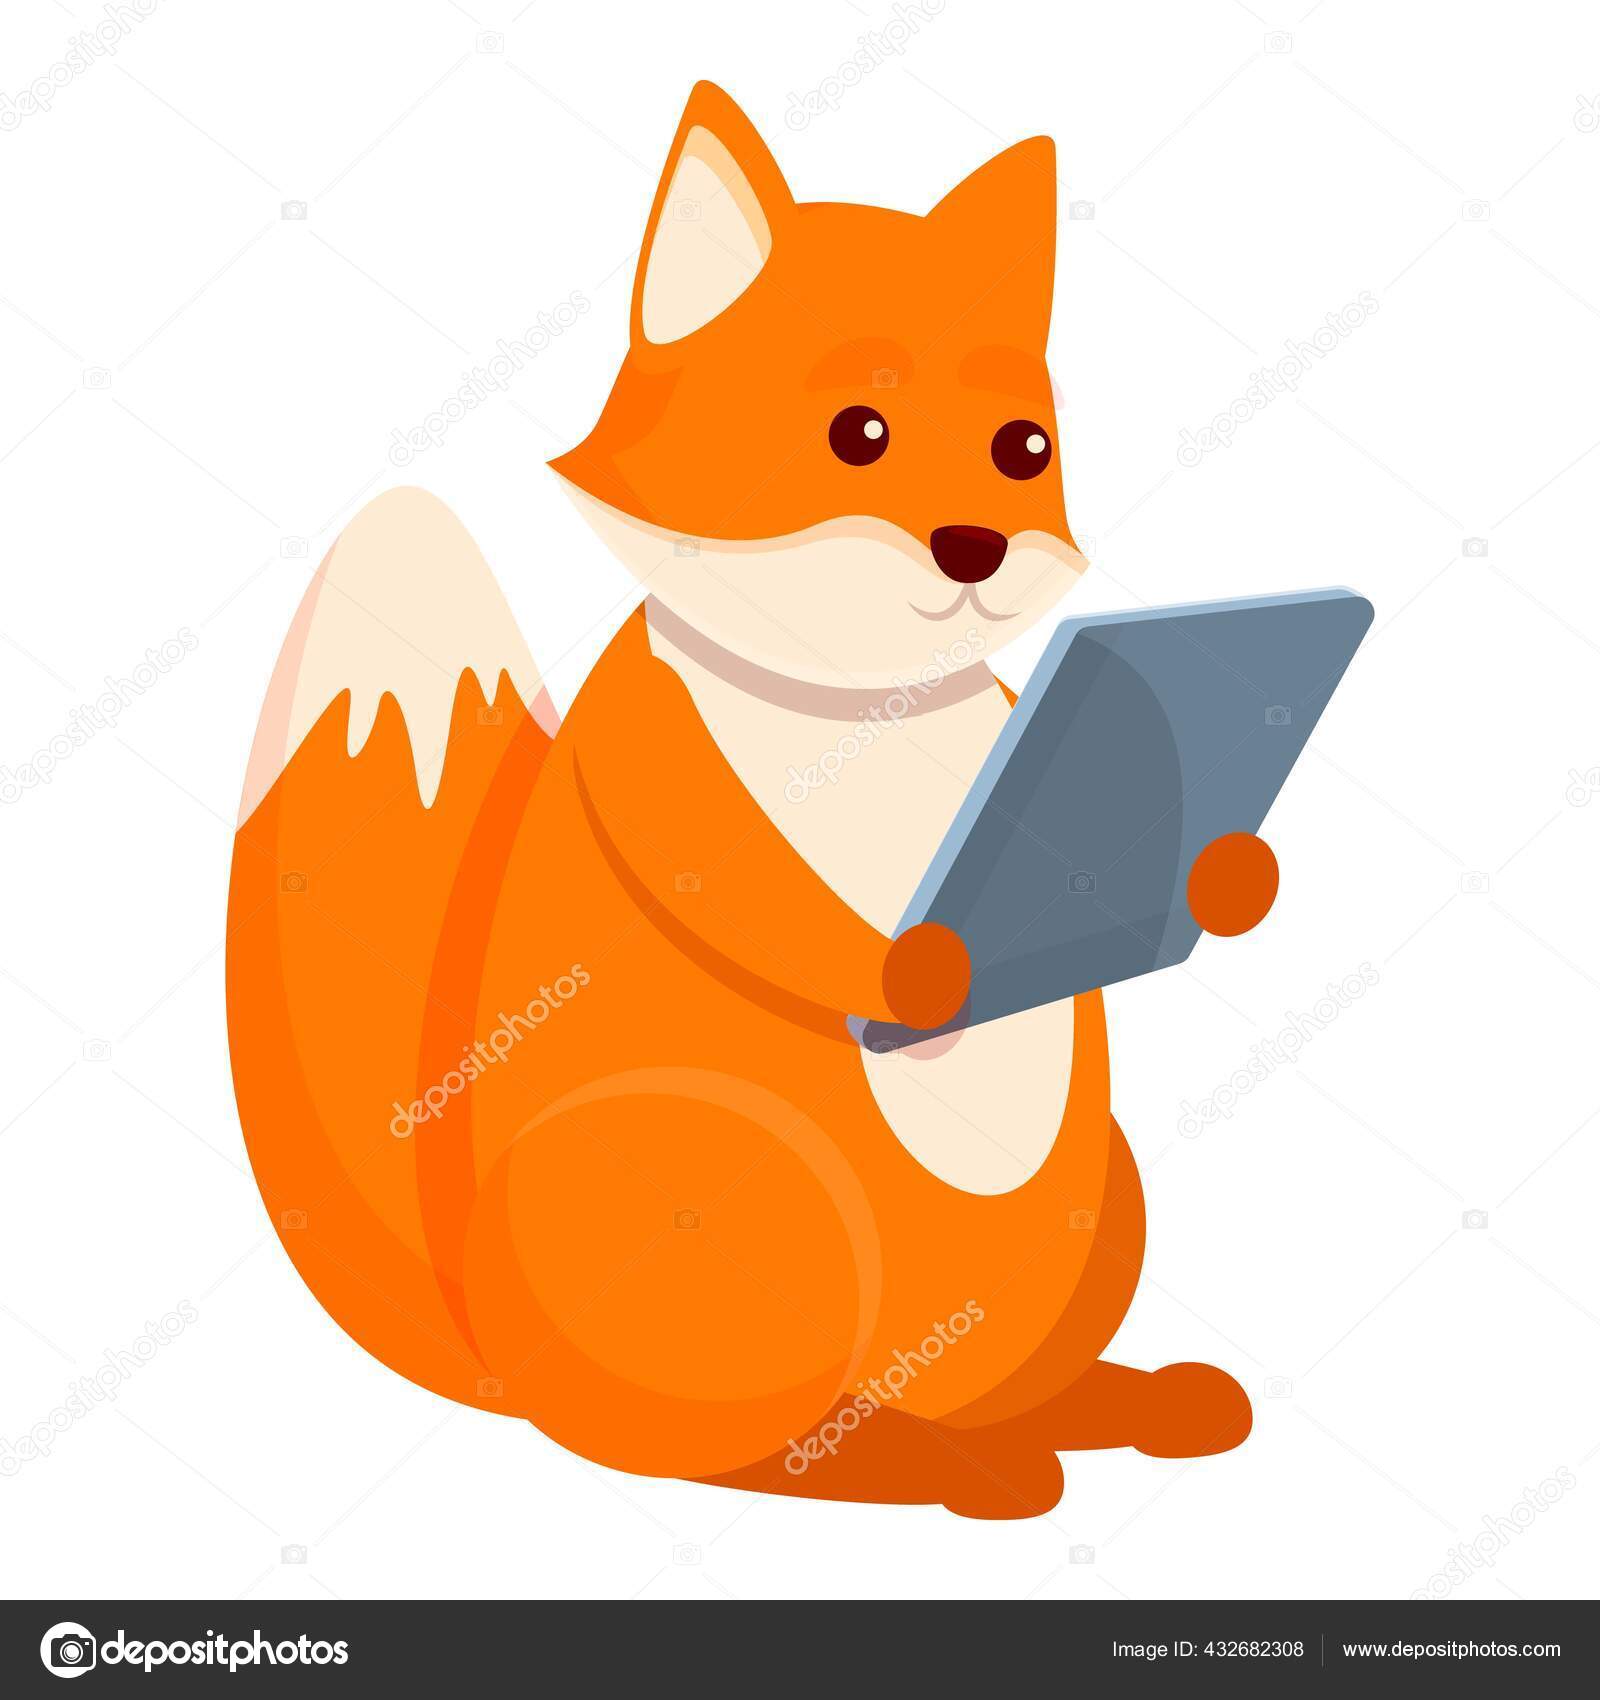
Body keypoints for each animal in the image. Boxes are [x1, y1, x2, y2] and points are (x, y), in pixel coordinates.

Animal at [227, 81, 1278, 1518]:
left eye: (1025, 450)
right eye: (856, 435)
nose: (973, 548)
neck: (860, 709)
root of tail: (500, 1360)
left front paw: (1224, 879)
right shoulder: (653, 767)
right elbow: (766, 913)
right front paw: (920, 967)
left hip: (1097, 1200)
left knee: (991, 1389)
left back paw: (1114, 1406)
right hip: (753, 1209)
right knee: (749, 1451)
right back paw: (931, 1463)